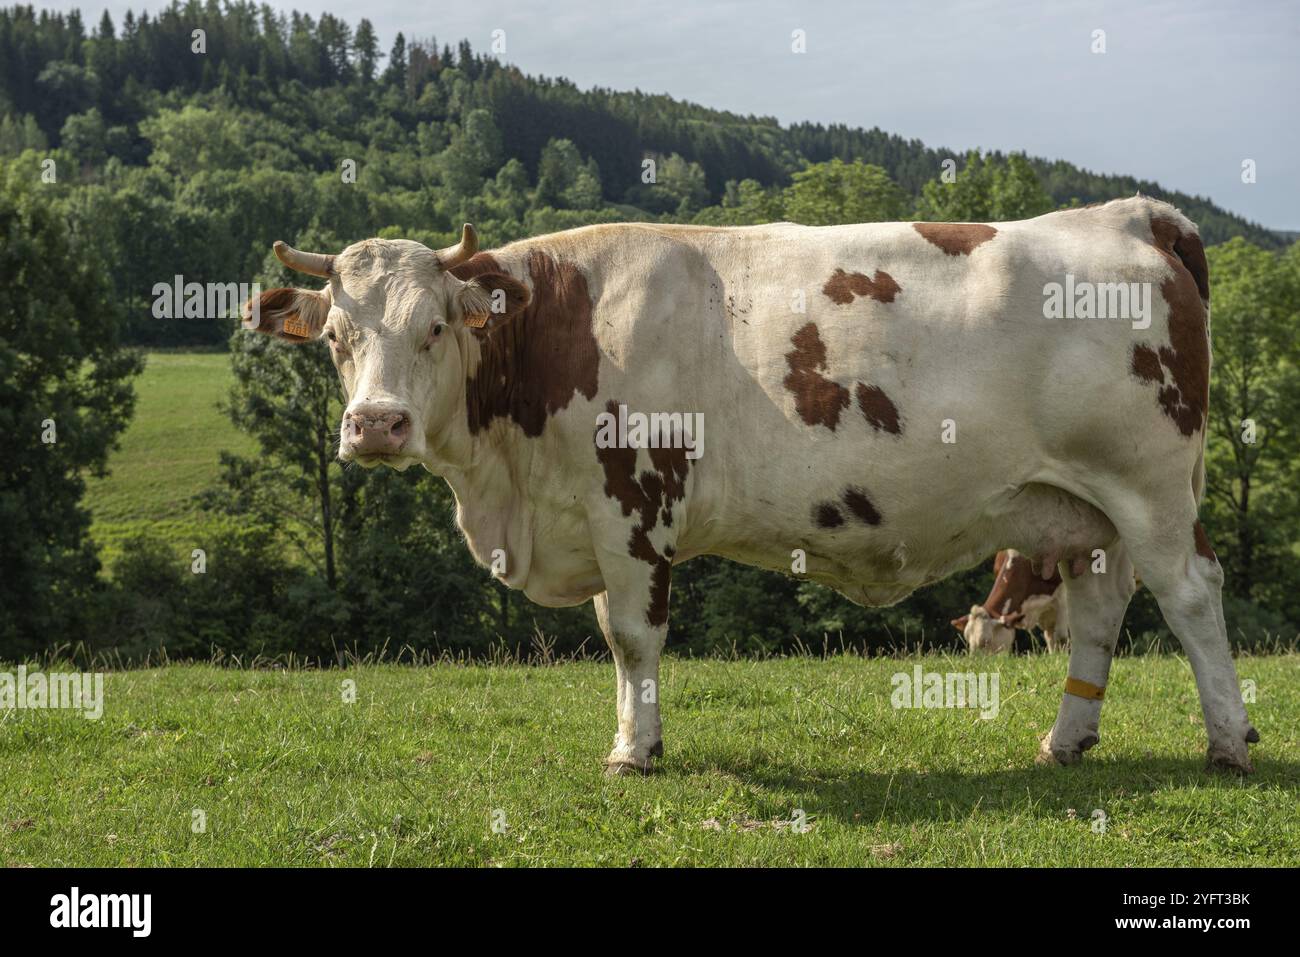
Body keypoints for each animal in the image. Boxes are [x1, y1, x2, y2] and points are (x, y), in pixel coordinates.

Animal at [242, 196, 1259, 775]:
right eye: (336, 336)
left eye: (434, 329)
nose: (376, 425)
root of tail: (1134, 213)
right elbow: (617, 640)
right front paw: (635, 739)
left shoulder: (634, 507)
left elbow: (631, 637)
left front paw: (634, 752)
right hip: (1081, 504)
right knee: (1099, 608)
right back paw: (1067, 740)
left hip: (1152, 486)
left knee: (1191, 594)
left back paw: (1228, 741)